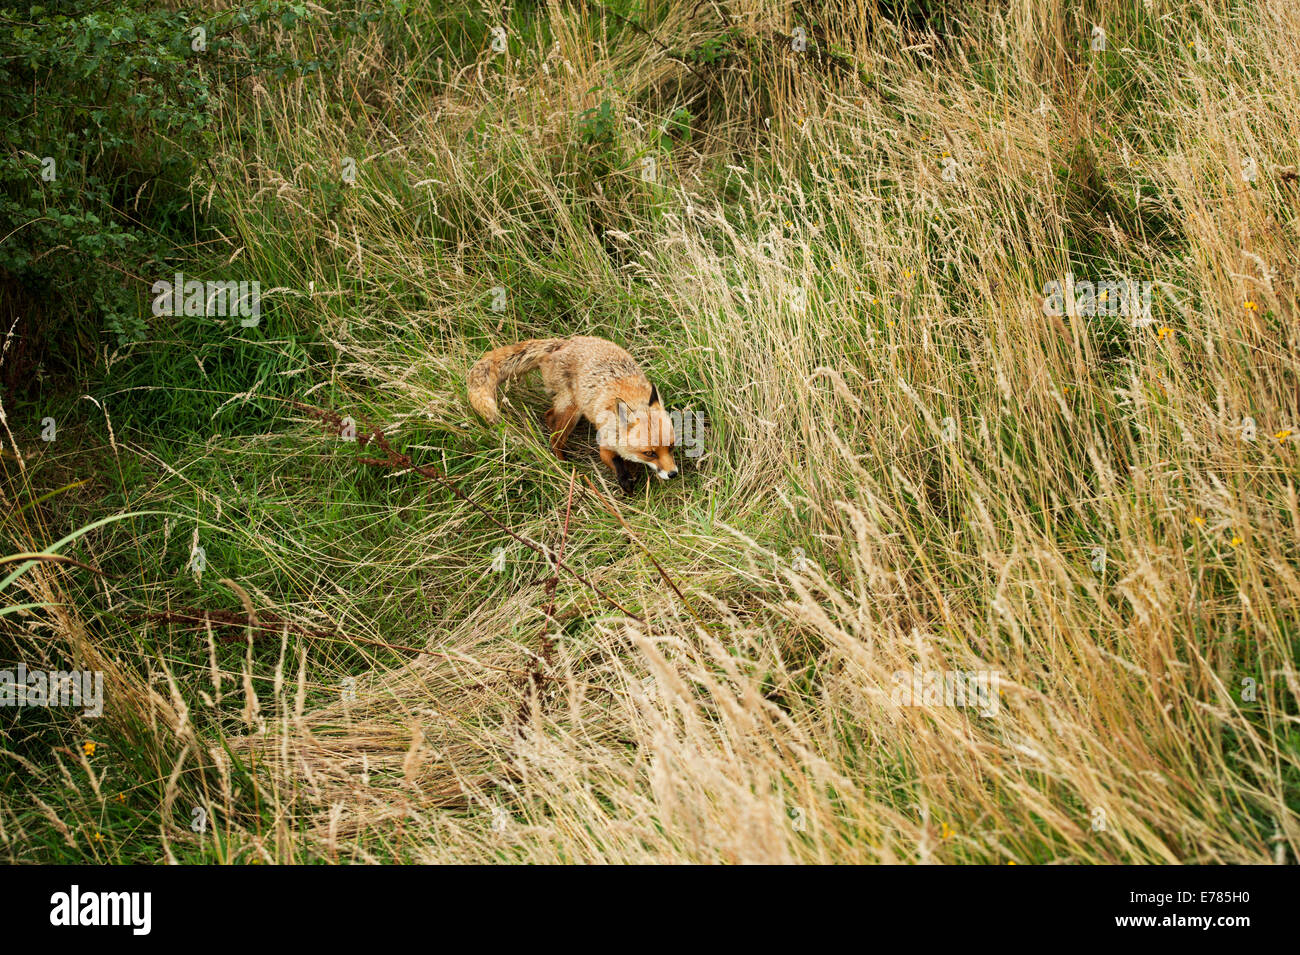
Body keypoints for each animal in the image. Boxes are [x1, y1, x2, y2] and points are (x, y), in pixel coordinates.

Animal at [467, 336, 678, 493]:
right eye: (650, 453)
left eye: (671, 447)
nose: (673, 473)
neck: (633, 399)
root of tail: (564, 342)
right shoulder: (605, 442)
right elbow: (614, 460)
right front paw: (625, 481)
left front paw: (633, 473)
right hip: (572, 409)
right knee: (553, 433)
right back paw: (564, 465)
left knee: (548, 416)